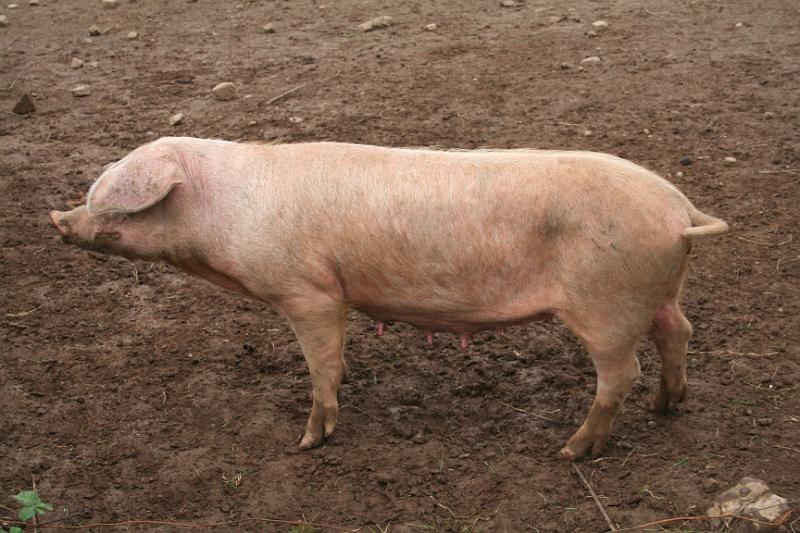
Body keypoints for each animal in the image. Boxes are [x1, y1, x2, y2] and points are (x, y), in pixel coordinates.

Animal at [49, 137, 728, 459]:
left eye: (109, 197)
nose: (58, 219)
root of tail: (680, 213)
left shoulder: (308, 290)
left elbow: (320, 364)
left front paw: (309, 442)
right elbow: (337, 360)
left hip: (606, 304)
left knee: (621, 373)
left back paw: (572, 452)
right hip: (657, 292)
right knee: (680, 332)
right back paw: (667, 407)